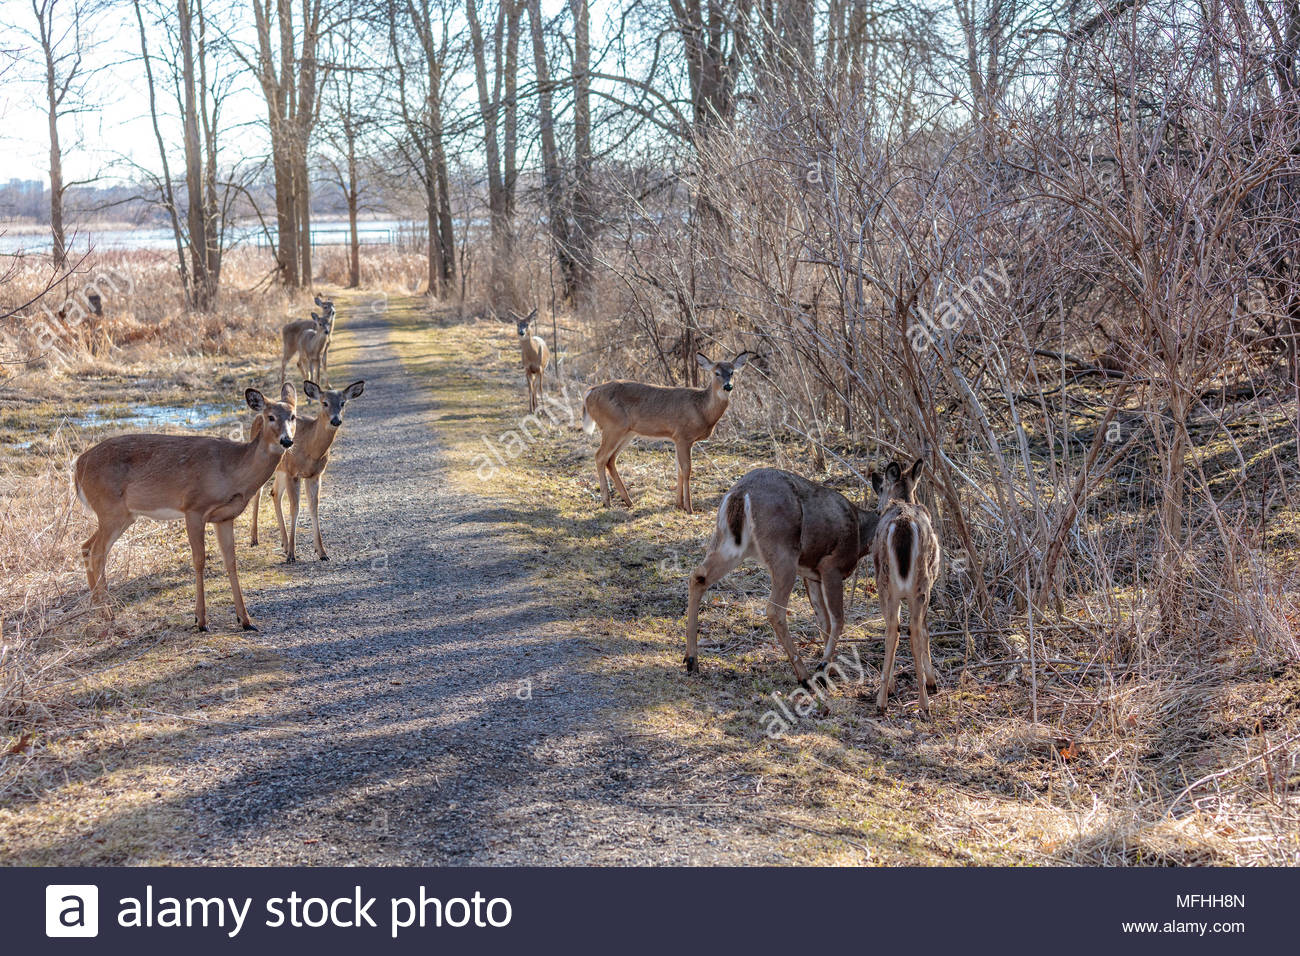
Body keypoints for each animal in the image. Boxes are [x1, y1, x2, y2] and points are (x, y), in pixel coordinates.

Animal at [73, 384, 298, 631]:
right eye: (270, 417)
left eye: (293, 416)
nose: (287, 441)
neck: (232, 471)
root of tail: (78, 465)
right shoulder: (193, 508)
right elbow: (199, 560)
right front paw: (201, 620)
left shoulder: (224, 517)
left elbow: (231, 561)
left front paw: (245, 620)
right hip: (110, 508)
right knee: (97, 552)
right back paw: (106, 612)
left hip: (122, 515)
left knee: (88, 547)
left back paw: (102, 612)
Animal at [251, 378, 365, 562]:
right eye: (324, 403)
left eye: (343, 403)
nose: (336, 420)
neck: (311, 450)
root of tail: (258, 415)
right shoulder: (293, 473)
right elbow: (295, 508)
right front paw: (292, 555)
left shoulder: (315, 475)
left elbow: (313, 507)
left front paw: (322, 552)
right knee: (259, 493)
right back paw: (254, 539)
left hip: (281, 469)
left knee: (275, 493)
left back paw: (283, 543)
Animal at [581, 351, 754, 514]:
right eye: (716, 373)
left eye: (732, 372)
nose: (728, 386)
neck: (702, 410)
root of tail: (589, 393)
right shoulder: (683, 436)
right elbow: (686, 469)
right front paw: (689, 508)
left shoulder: (678, 439)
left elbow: (678, 469)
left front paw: (679, 504)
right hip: (612, 426)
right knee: (600, 456)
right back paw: (607, 501)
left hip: (627, 432)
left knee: (610, 459)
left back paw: (628, 501)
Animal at [685, 467, 878, 687]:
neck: (861, 532)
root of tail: (741, 493)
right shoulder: (831, 566)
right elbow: (837, 618)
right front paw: (823, 668)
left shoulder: (812, 574)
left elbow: (824, 620)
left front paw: (829, 667)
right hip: (783, 553)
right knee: (774, 609)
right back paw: (803, 675)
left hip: (730, 545)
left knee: (697, 576)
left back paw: (691, 661)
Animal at [869, 458, 942, 717]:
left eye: (881, 487)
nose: (874, 478)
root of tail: (902, 524)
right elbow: (925, 630)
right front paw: (931, 681)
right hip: (919, 584)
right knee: (913, 630)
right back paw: (922, 701)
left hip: (888, 585)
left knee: (896, 629)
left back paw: (885, 700)